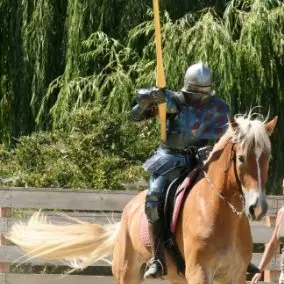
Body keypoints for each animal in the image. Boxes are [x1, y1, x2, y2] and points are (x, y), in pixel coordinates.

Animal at [7, 113, 278, 284]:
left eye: (267, 158)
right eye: (241, 158)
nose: (257, 208)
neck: (219, 210)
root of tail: (128, 212)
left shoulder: (233, 275)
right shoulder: (200, 273)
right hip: (127, 272)